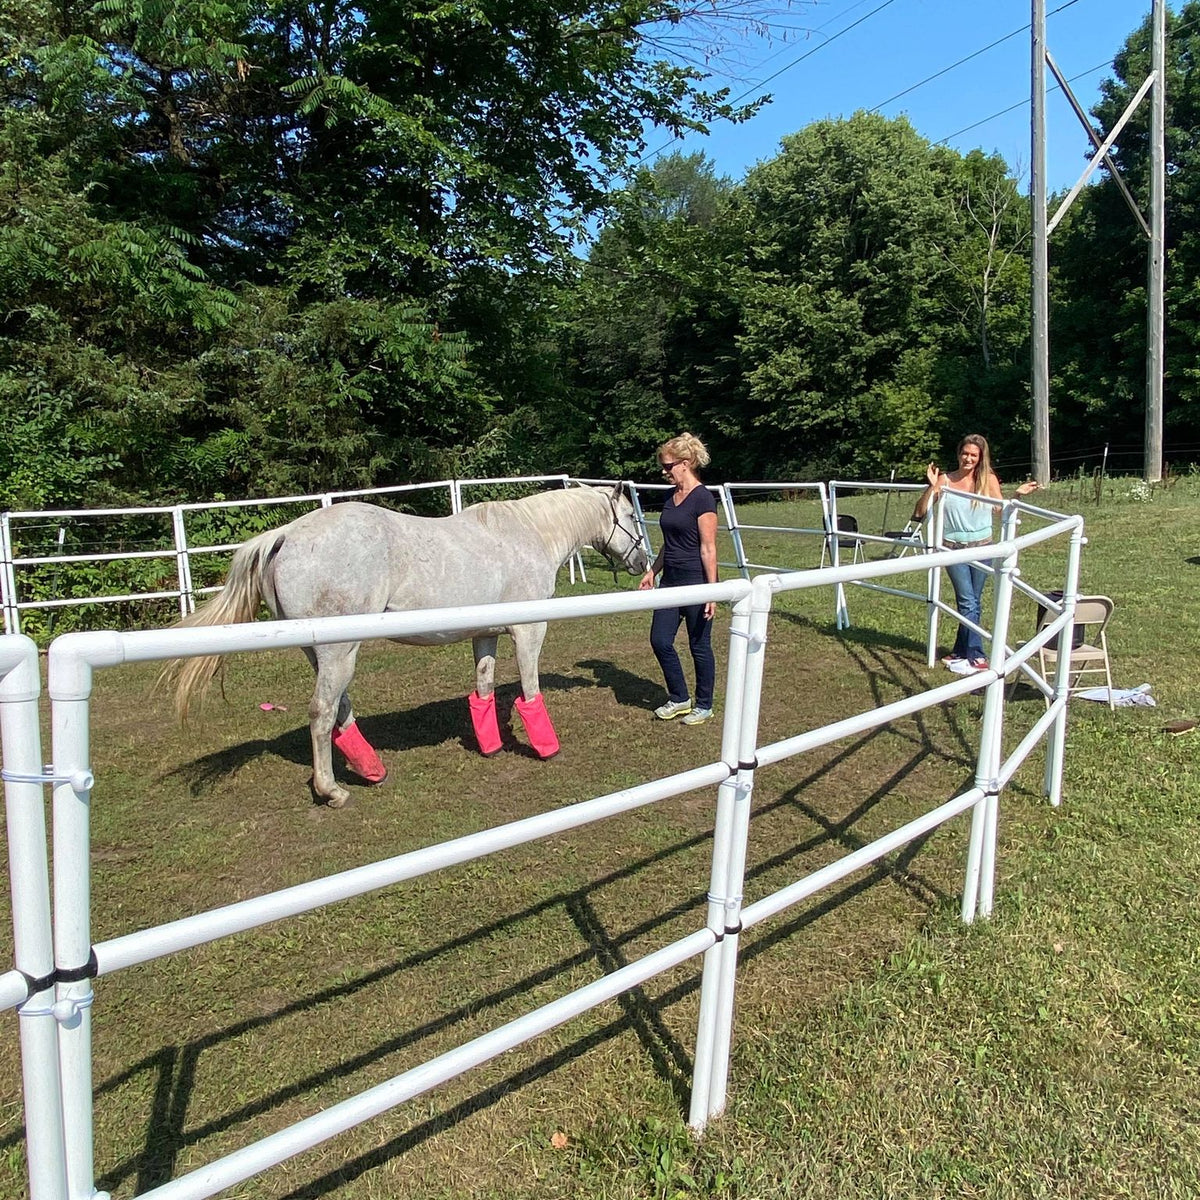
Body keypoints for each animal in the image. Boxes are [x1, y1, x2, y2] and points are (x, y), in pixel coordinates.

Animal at [167, 484, 648, 808]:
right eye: (631, 516)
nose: (643, 561)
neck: (528, 534)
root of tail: (284, 536)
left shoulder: (485, 634)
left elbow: (484, 687)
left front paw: (490, 746)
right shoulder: (529, 631)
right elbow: (530, 690)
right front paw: (547, 747)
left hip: (325, 654)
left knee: (338, 708)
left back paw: (372, 770)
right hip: (339, 651)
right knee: (322, 713)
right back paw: (332, 790)